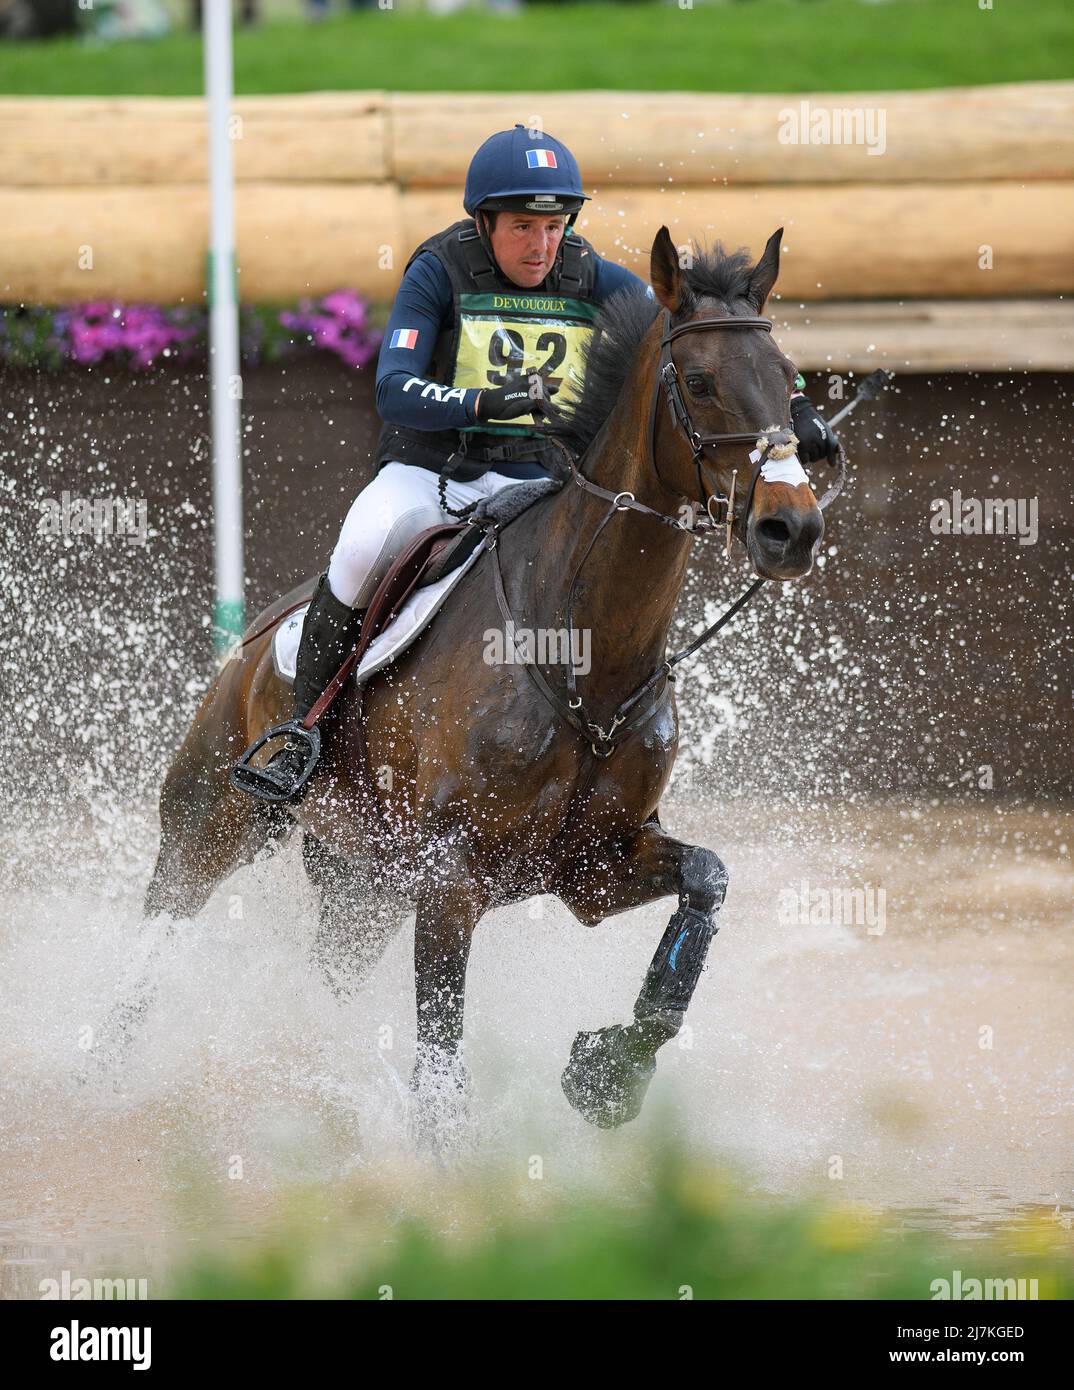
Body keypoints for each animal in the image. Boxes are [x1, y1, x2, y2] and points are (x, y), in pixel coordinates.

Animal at [100, 225, 835, 1132]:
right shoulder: (451, 883)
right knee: (157, 937)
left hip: (364, 886)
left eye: (789, 378)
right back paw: (104, 1074)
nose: (791, 529)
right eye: (698, 383)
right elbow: (443, 1069)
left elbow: (706, 883)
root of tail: (250, 641)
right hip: (212, 823)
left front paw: (612, 1068)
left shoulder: (594, 867)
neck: (582, 658)